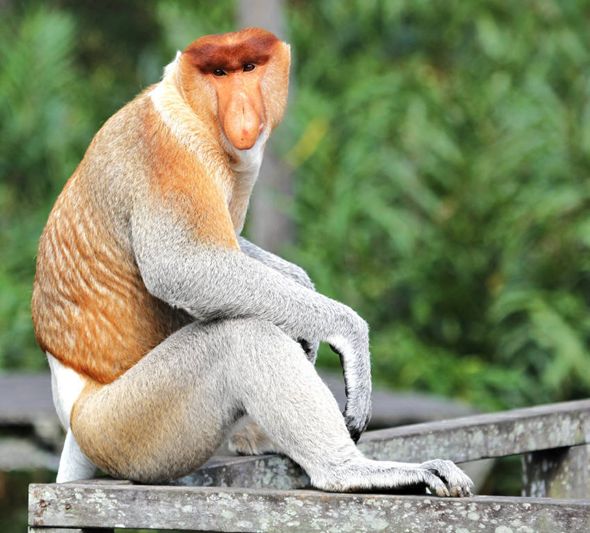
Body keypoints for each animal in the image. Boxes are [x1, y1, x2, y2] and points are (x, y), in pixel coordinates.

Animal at [31, 28, 476, 494]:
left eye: (249, 68)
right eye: (219, 73)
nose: (243, 110)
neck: (190, 108)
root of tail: (74, 417)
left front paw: (301, 286)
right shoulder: (167, 155)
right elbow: (182, 265)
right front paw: (349, 334)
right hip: (125, 425)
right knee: (241, 337)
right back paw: (349, 471)